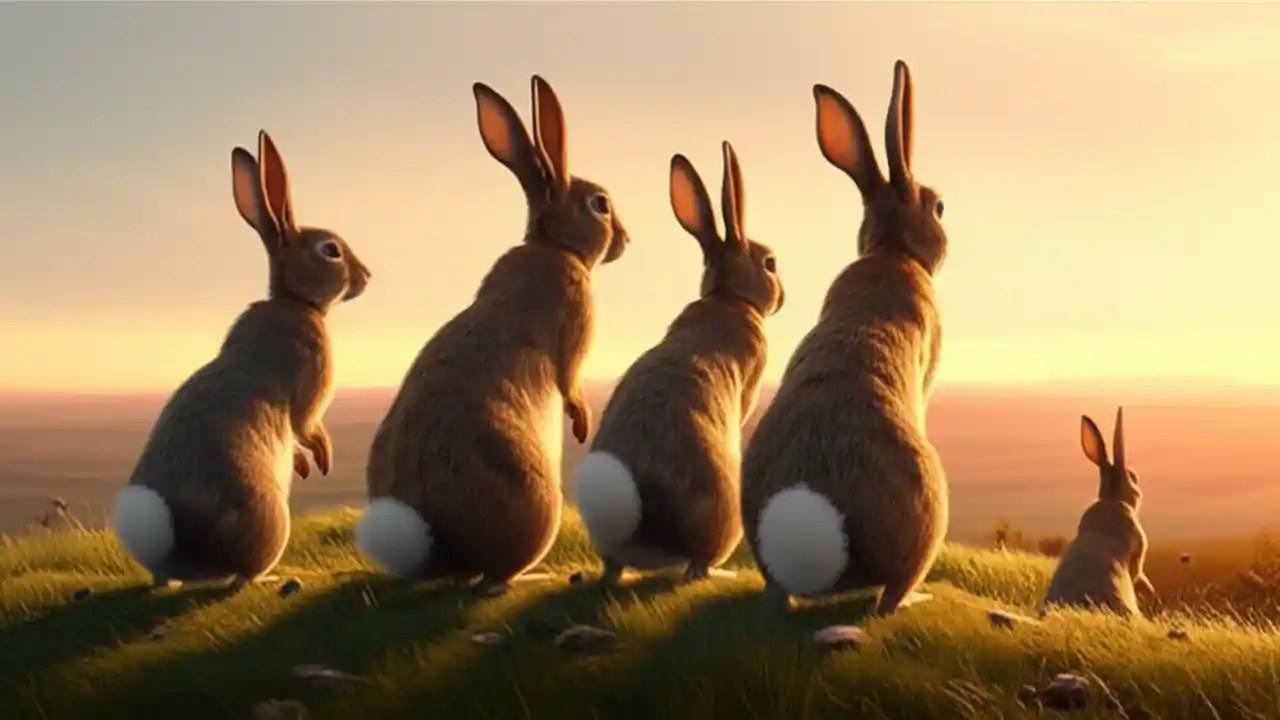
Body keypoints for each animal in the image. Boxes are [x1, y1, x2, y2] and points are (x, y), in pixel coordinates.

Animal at [111, 130, 371, 591]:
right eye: (331, 250)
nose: (367, 276)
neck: (295, 301)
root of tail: (185, 548)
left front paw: (305, 465)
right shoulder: (310, 389)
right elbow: (307, 427)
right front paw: (321, 460)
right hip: (272, 521)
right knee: (242, 577)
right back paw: (274, 578)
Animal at [356, 76, 630, 596]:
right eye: (600, 204)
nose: (626, 239)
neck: (555, 245)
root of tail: (439, 542)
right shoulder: (575, 318)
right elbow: (570, 377)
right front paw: (581, 422)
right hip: (538, 505)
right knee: (492, 577)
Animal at [572, 142, 785, 585]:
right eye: (770, 264)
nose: (784, 294)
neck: (729, 298)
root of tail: (642, 522)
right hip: (723, 516)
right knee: (696, 566)